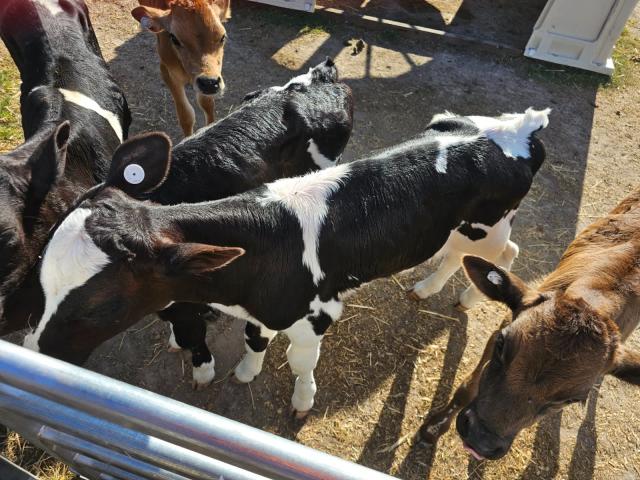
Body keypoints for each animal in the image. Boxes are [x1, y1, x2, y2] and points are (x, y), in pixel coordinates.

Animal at [5, 59, 354, 388]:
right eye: (42, 276)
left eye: (99, 308)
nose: (37, 352)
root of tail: (319, 79)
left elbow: (192, 332)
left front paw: (203, 370)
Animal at [22, 108, 549, 417]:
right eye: (41, 282)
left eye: (100, 307)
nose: (35, 351)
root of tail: (521, 126)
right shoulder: (262, 310)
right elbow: (255, 341)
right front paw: (248, 371)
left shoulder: (316, 315)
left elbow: (300, 362)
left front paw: (302, 400)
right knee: (456, 250)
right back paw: (428, 286)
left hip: (489, 227)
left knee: (505, 254)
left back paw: (465, 294)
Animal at [131, 0, 230, 137]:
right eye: (174, 38)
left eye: (223, 37)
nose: (209, 83)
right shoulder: (167, 71)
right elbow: (186, 115)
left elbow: (207, 104)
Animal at [418, 187, 640, 460]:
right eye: (502, 345)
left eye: (572, 399)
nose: (481, 440)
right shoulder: (501, 327)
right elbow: (467, 387)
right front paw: (432, 429)